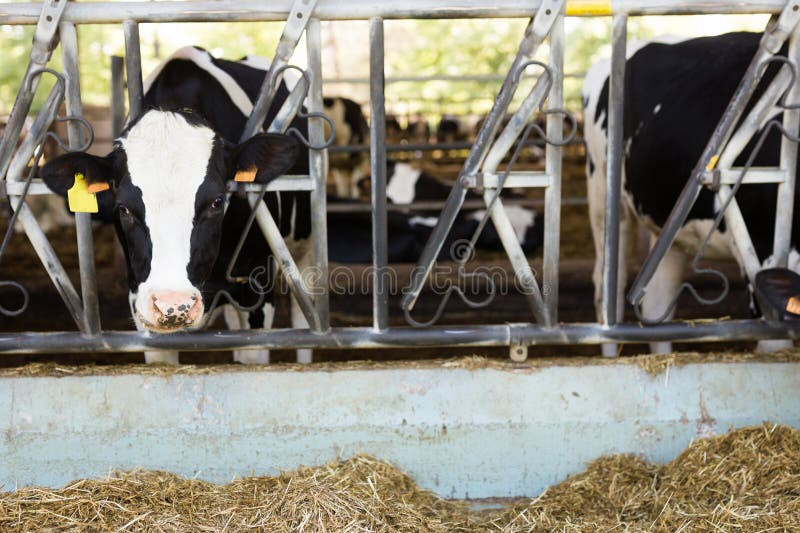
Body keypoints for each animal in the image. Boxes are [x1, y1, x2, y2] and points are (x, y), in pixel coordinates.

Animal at [40, 46, 313, 365]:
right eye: (124, 208)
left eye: (217, 202)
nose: (174, 304)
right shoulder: (141, 300)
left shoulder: (256, 292)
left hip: (304, 251)